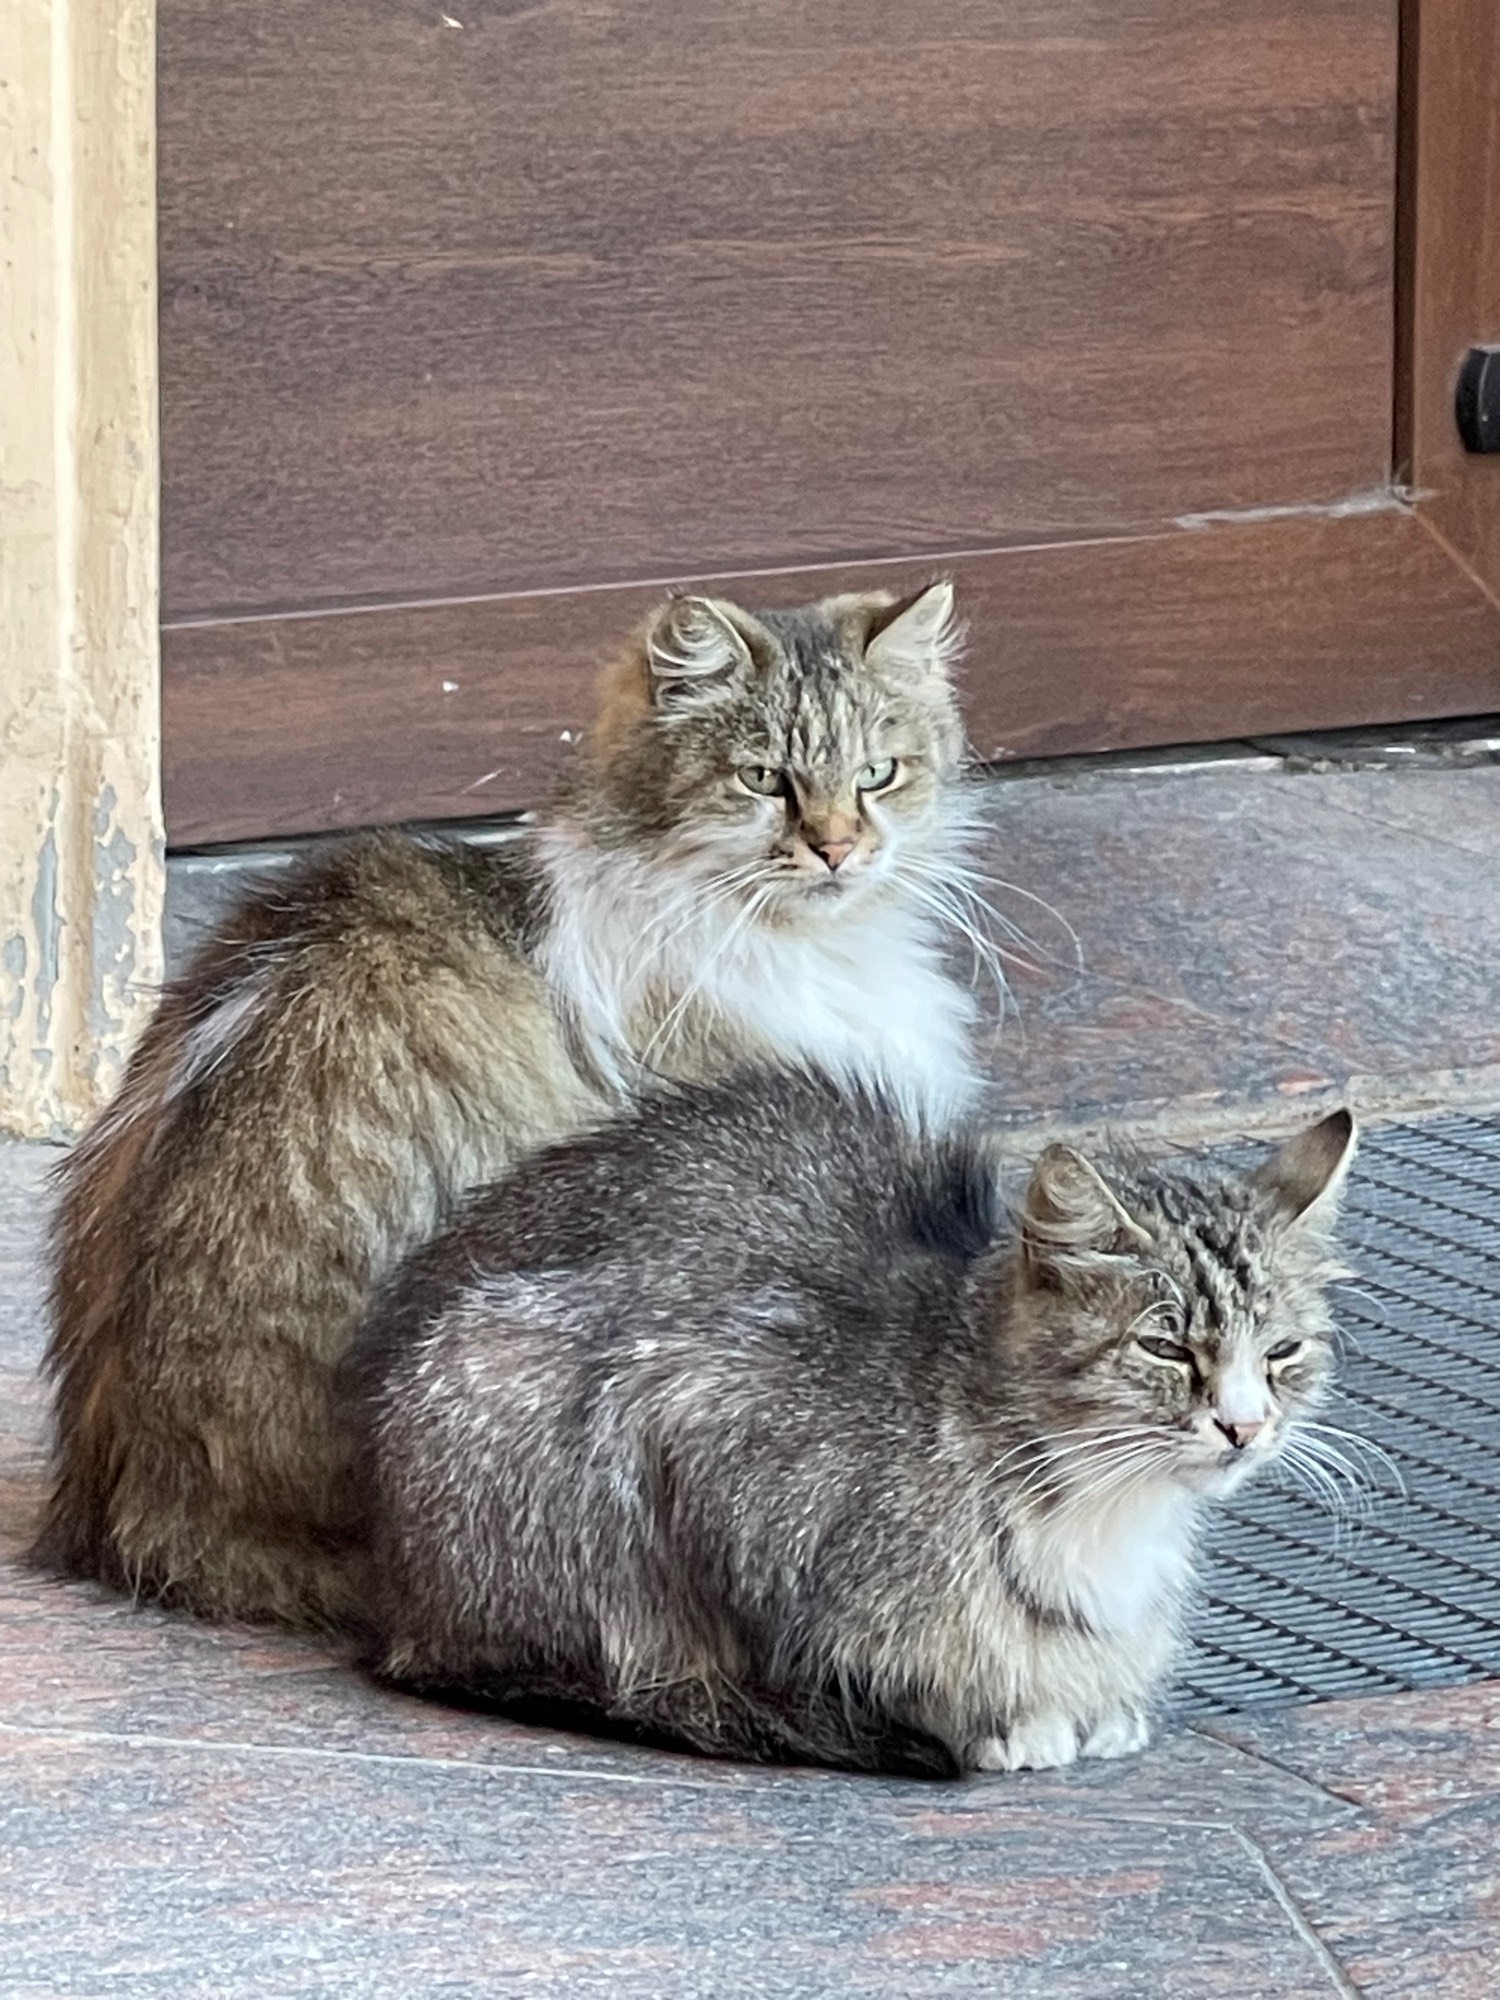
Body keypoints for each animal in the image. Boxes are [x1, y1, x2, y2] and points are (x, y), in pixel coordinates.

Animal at [346, 1072, 1360, 1776]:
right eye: (1165, 1348)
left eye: (1281, 1352)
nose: (1245, 1425)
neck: (1102, 1511)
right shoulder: (696, 1419)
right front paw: (998, 1720)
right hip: (503, 1390)